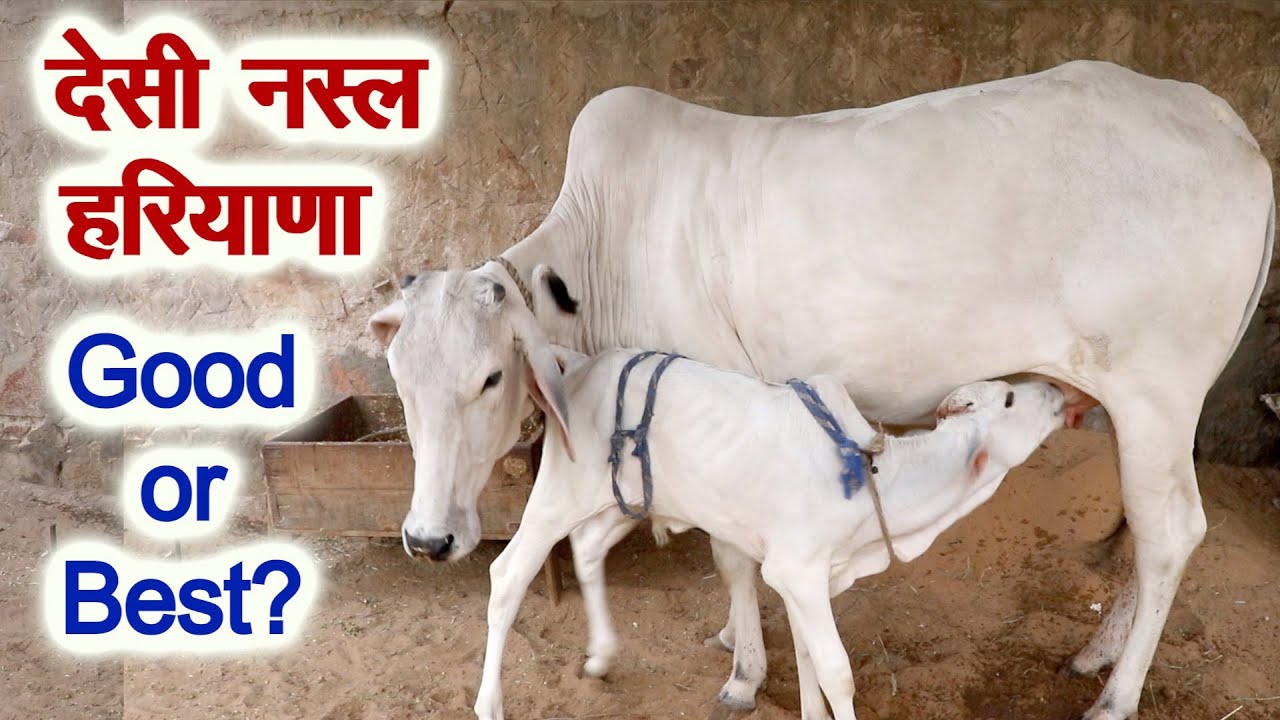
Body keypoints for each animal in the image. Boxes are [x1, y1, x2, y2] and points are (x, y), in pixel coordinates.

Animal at [369, 60, 1275, 719]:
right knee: (1149, 531)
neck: (607, 246)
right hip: (1128, 405)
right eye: (401, 384)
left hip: (1158, 394)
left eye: (490, 376)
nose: (428, 538)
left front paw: (744, 671)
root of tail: (1224, 123)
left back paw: (1117, 695)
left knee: (1169, 532)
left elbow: (731, 552)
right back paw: (1101, 651)